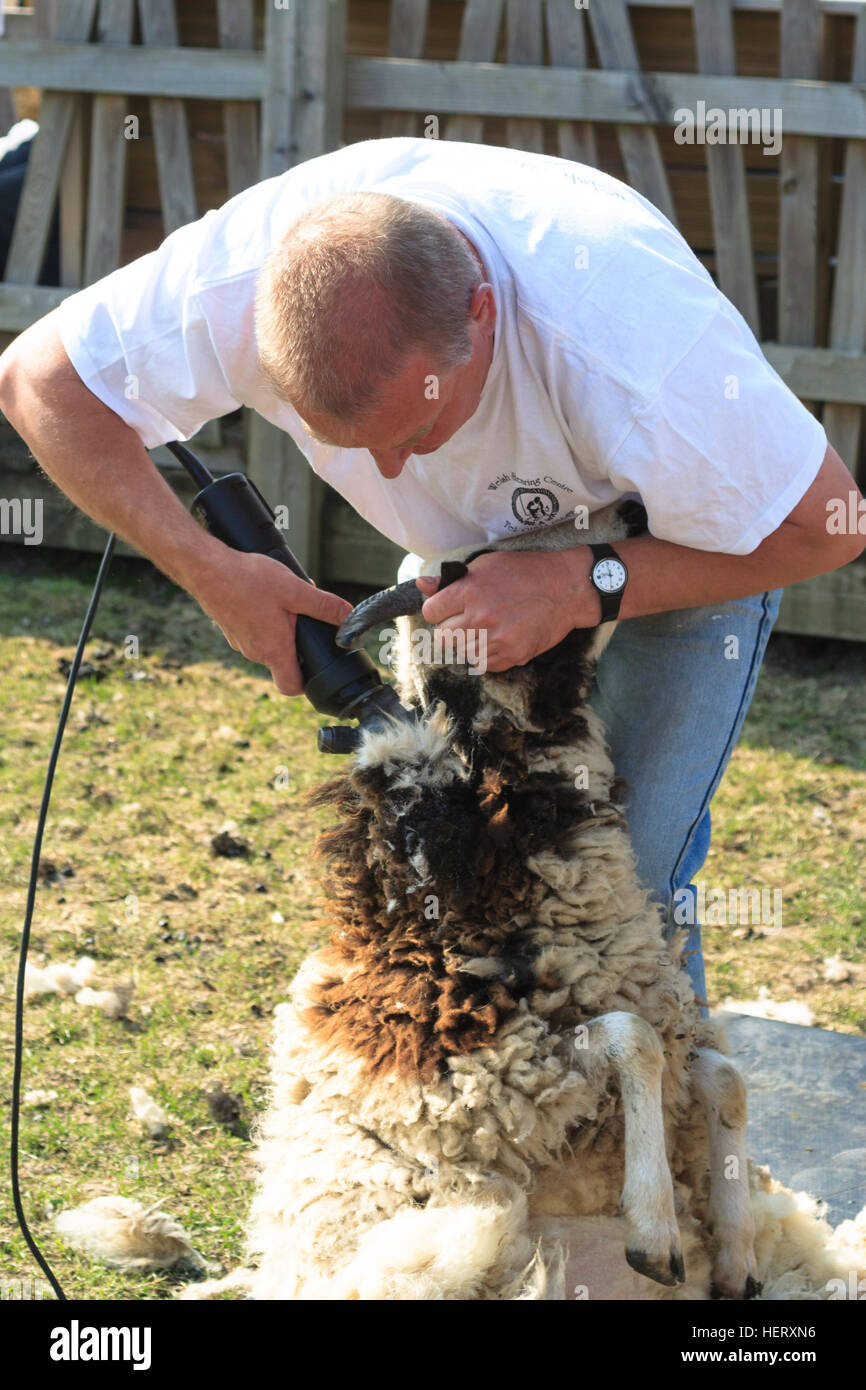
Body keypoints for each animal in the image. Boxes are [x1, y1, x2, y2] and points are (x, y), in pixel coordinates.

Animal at [183, 498, 864, 1301]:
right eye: (481, 567)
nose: (631, 510)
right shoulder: (488, 1072)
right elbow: (636, 1040)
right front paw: (656, 1232)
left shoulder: (634, 1032)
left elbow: (723, 1078)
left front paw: (733, 1257)